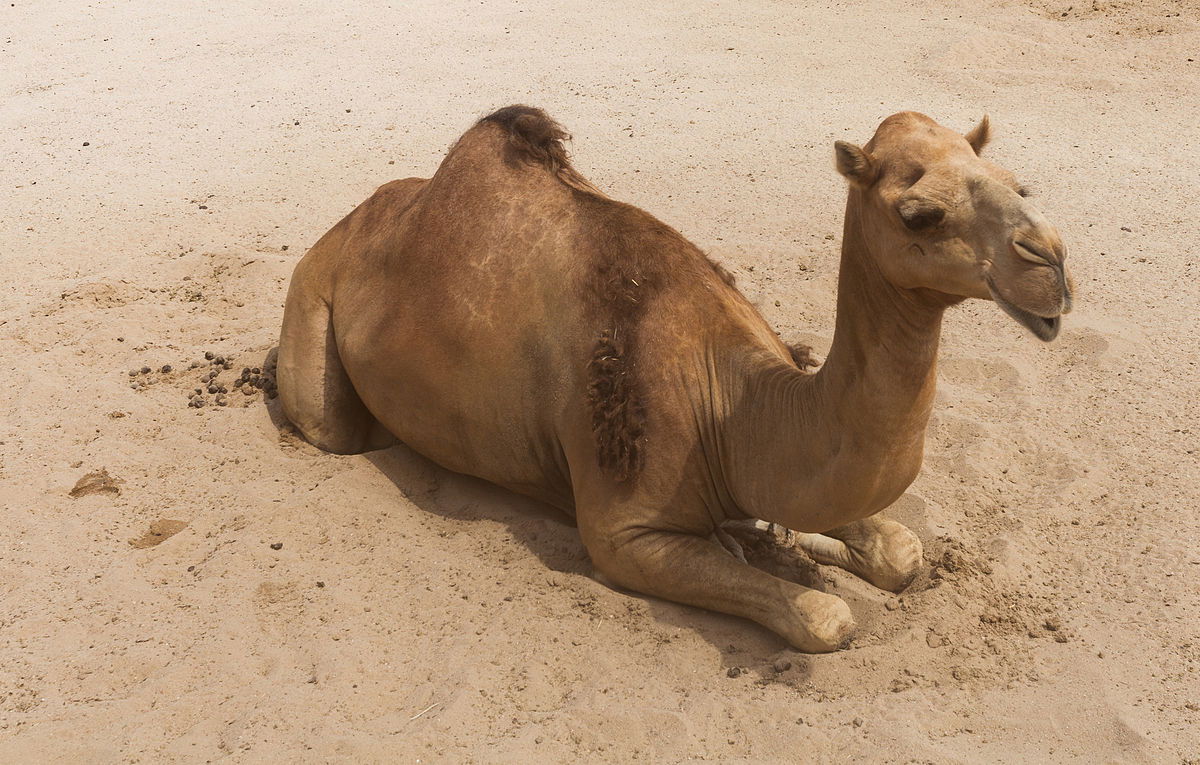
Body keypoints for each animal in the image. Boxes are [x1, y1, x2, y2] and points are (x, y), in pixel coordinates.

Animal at [277, 106, 1072, 652]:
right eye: (920, 213)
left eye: (1017, 184)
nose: (1053, 263)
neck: (733, 409)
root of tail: (357, 216)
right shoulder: (623, 532)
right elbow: (827, 615)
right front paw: (777, 555)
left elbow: (900, 551)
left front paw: (784, 539)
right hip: (313, 310)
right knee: (334, 424)